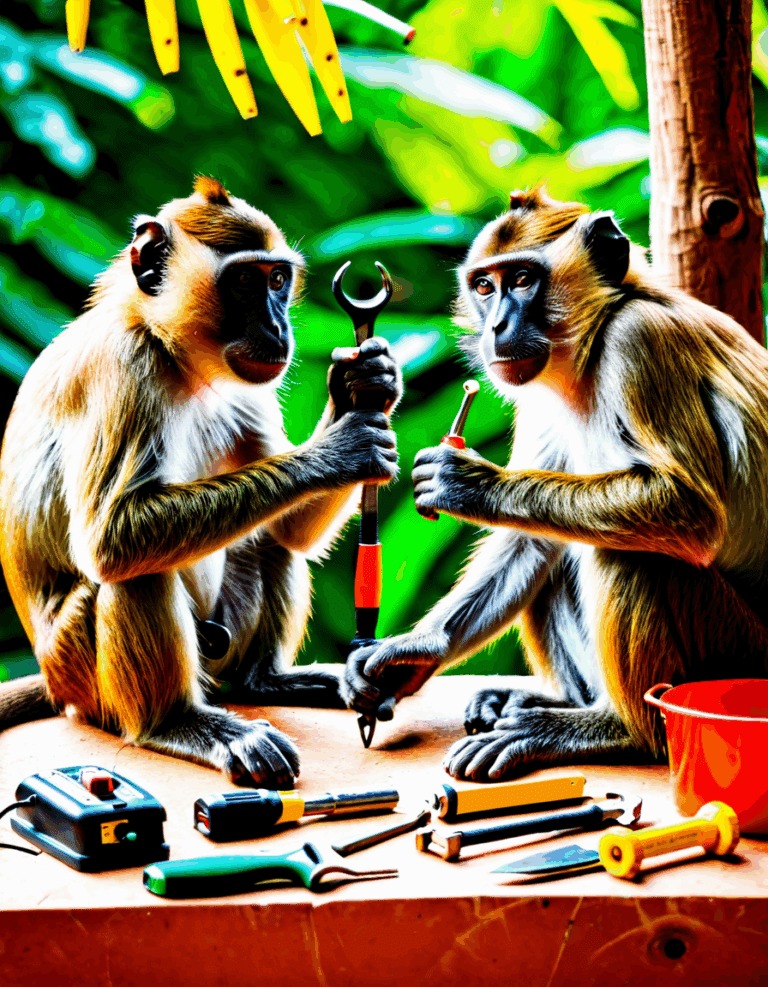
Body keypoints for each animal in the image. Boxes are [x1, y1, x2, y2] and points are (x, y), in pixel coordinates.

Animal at [0, 176, 402, 788]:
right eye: (244, 281)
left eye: (278, 280)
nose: (278, 326)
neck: (177, 358)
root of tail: (52, 676)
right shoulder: (124, 364)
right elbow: (112, 537)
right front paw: (343, 448)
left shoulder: (248, 386)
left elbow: (293, 529)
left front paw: (365, 378)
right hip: (80, 671)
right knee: (135, 568)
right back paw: (179, 723)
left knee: (268, 535)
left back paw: (264, 682)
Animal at [342, 185, 768, 782]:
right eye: (484, 286)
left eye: (523, 279)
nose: (496, 326)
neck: (589, 353)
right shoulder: (538, 392)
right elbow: (528, 539)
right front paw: (408, 654)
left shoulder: (640, 340)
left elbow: (689, 510)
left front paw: (465, 483)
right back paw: (551, 703)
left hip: (734, 649)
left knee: (634, 554)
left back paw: (615, 730)